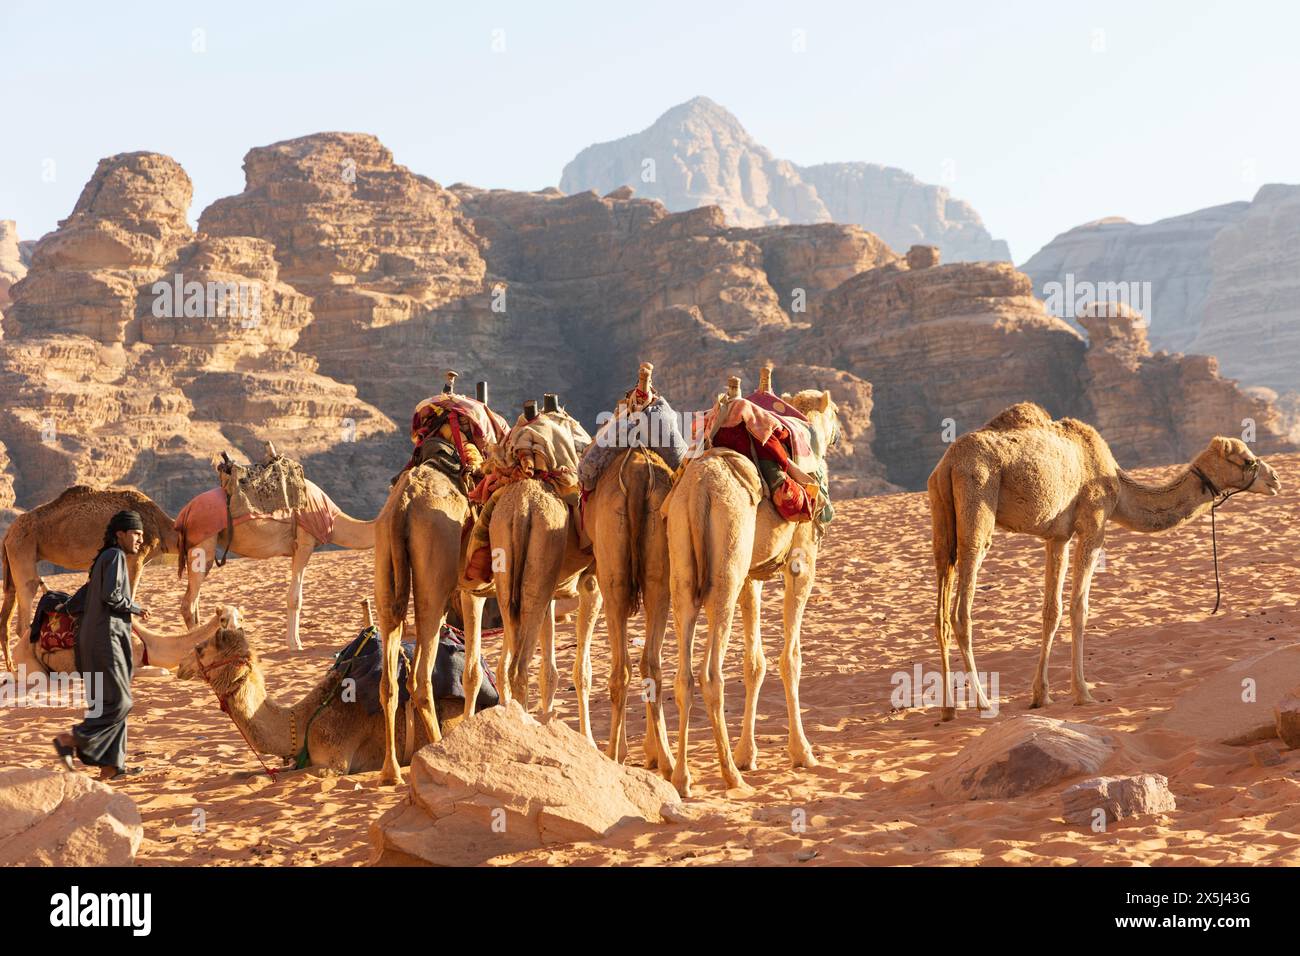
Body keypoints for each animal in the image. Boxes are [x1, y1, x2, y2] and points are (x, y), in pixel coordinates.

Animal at [1, 486, 180, 672]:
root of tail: (8, 533)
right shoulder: (135, 558)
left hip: (13, 558)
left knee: (8, 606)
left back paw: (12, 668)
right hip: (23, 548)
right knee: (28, 590)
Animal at [665, 378, 842, 796]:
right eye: (835, 412)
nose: (840, 432)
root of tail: (699, 490)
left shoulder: (751, 576)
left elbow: (754, 663)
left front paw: (750, 753)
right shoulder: (801, 561)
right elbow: (790, 658)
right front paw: (802, 752)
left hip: (684, 573)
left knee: (683, 675)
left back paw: (683, 777)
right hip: (724, 574)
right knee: (711, 674)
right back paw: (731, 775)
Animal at [928, 401, 1281, 719]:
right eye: (1248, 460)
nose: (1275, 479)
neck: (1119, 486)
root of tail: (948, 464)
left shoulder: (1057, 537)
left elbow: (1052, 611)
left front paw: (1041, 695)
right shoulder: (1093, 525)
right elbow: (1078, 608)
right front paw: (1083, 693)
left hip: (941, 519)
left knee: (941, 609)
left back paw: (948, 709)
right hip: (978, 503)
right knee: (961, 611)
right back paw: (983, 702)